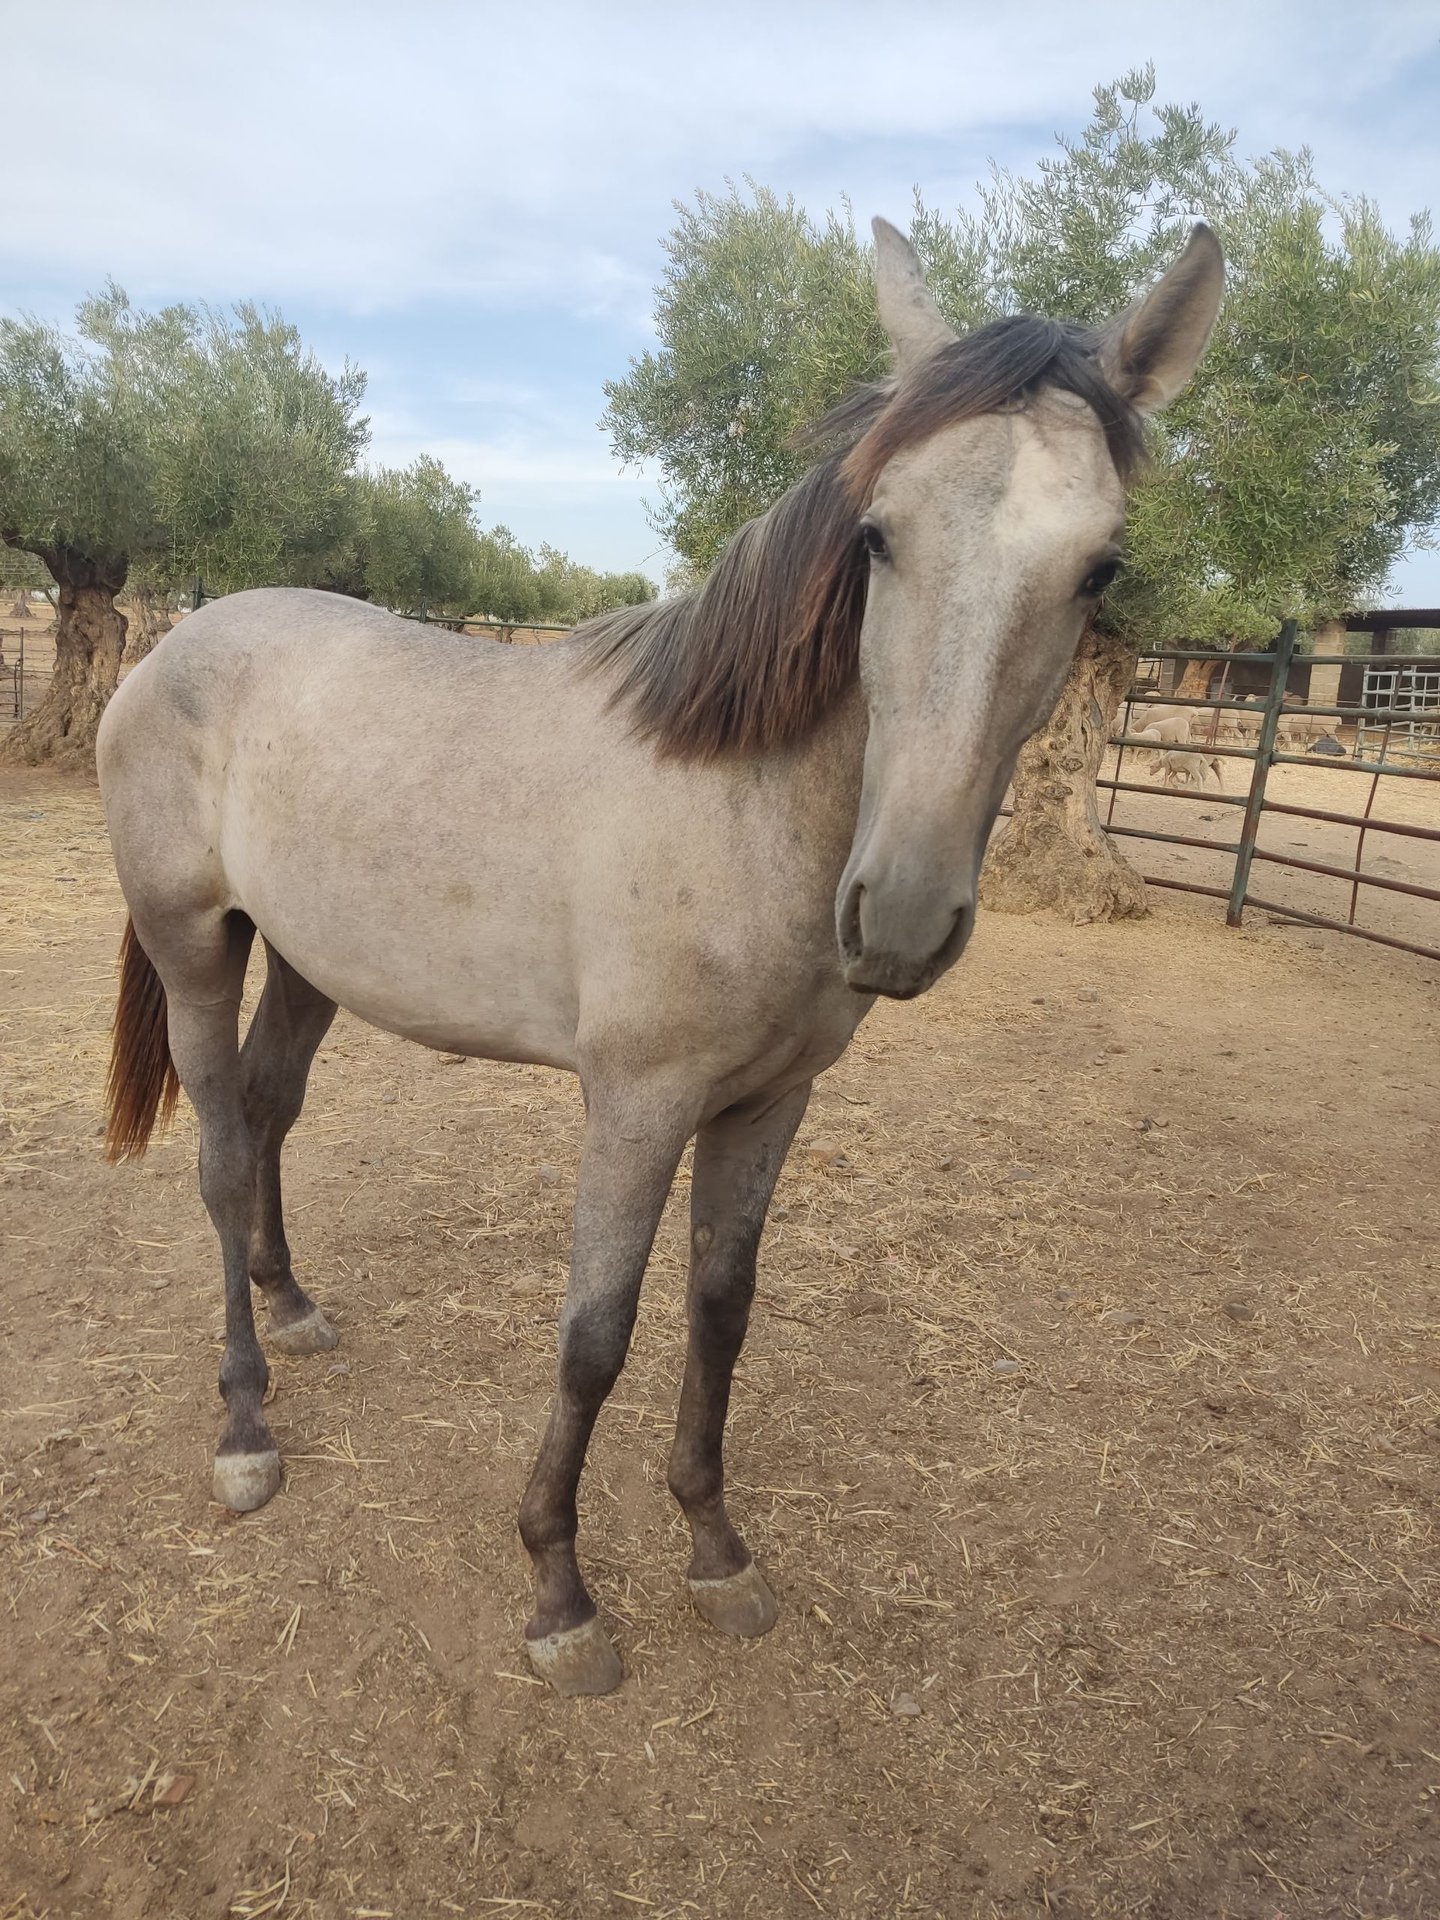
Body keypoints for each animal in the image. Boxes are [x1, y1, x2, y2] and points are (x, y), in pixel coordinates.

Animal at [98, 218, 1222, 1695]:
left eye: (1100, 568)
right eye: (877, 534)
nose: (900, 913)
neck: (739, 799)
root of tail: (176, 640)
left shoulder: (771, 1101)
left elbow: (721, 1307)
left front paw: (716, 1547)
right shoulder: (636, 1102)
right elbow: (595, 1335)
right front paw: (559, 1594)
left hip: (308, 961)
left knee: (274, 1113)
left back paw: (291, 1306)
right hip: (193, 945)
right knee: (225, 1160)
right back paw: (246, 1425)